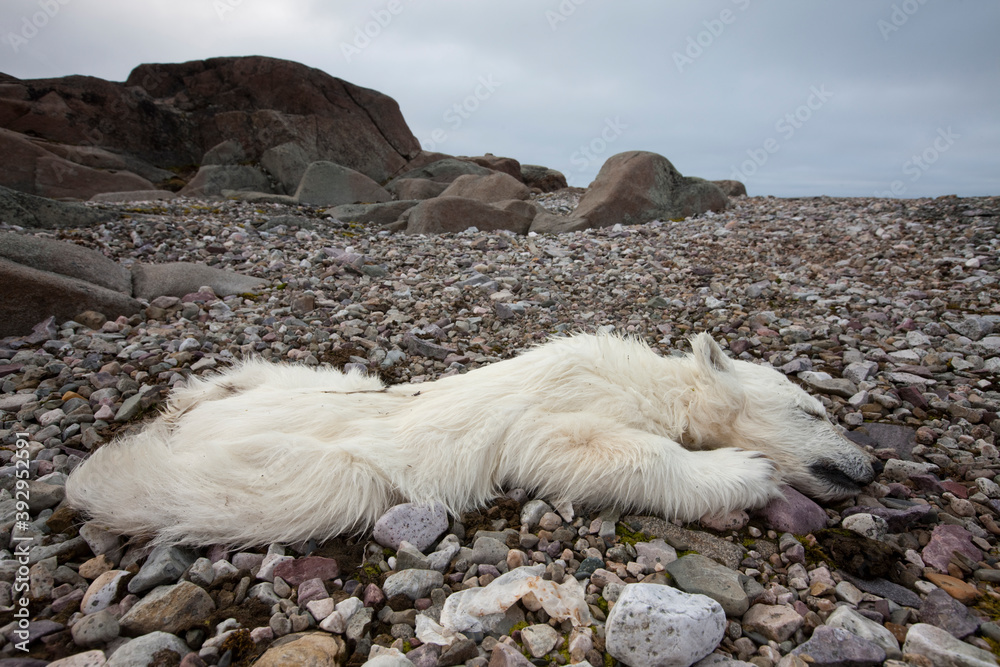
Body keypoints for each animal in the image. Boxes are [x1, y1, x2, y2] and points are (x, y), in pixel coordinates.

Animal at [65, 333, 874, 547]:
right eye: (812, 410)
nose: (869, 465)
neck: (654, 382)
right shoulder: (567, 394)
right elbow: (566, 444)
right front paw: (746, 469)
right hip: (317, 464)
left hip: (300, 386)